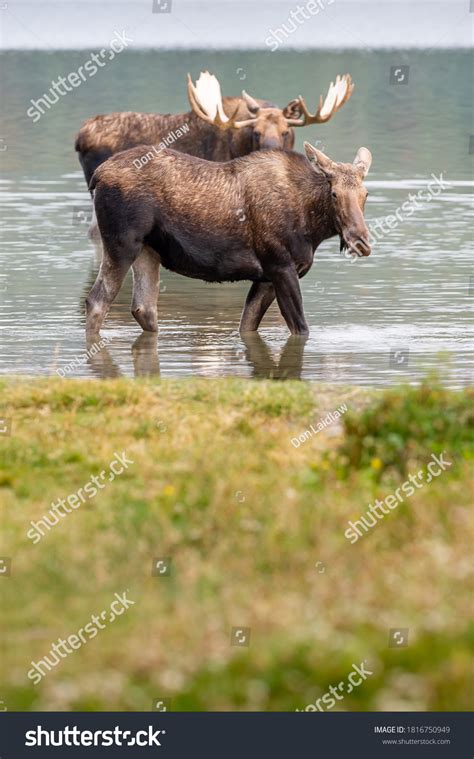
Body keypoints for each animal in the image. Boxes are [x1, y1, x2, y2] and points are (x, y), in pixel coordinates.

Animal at [86, 141, 372, 337]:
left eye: (365, 194)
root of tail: (97, 175)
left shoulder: (266, 277)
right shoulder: (280, 266)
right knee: (97, 301)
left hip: (148, 251)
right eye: (334, 193)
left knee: (143, 308)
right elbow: (301, 328)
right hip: (122, 244)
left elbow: (247, 326)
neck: (312, 227)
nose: (361, 240)